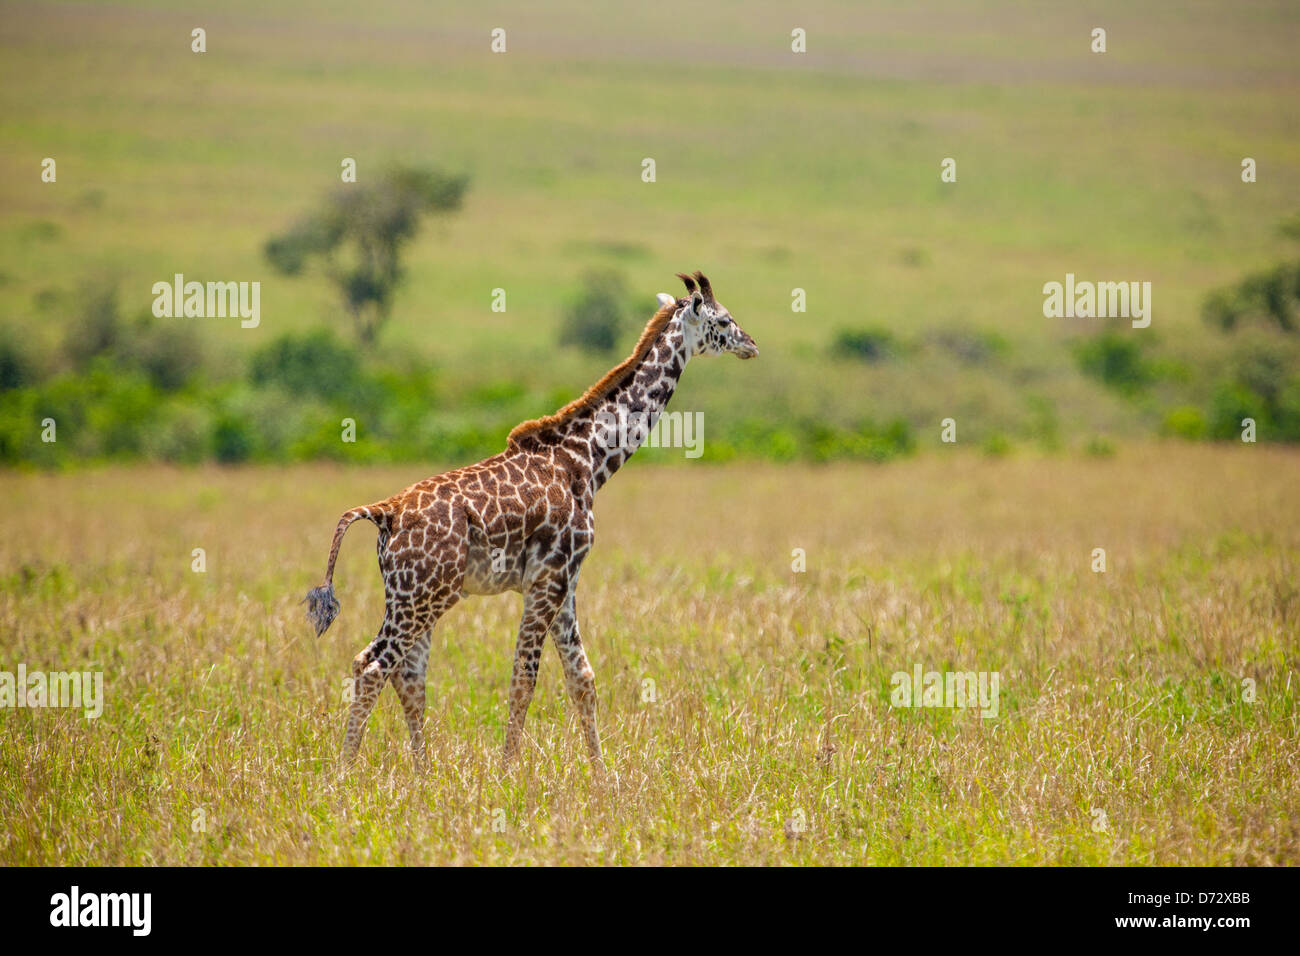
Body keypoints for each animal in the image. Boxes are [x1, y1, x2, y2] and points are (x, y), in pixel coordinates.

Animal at [303, 271, 758, 770]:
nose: (751, 344)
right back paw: (344, 772)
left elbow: (582, 678)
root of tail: (384, 514)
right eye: (723, 319)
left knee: (404, 674)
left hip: (413, 595)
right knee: (373, 666)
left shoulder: (565, 582)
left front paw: (603, 777)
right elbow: (526, 677)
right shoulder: (548, 580)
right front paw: (508, 771)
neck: (589, 460)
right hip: (423, 596)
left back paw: (421, 774)